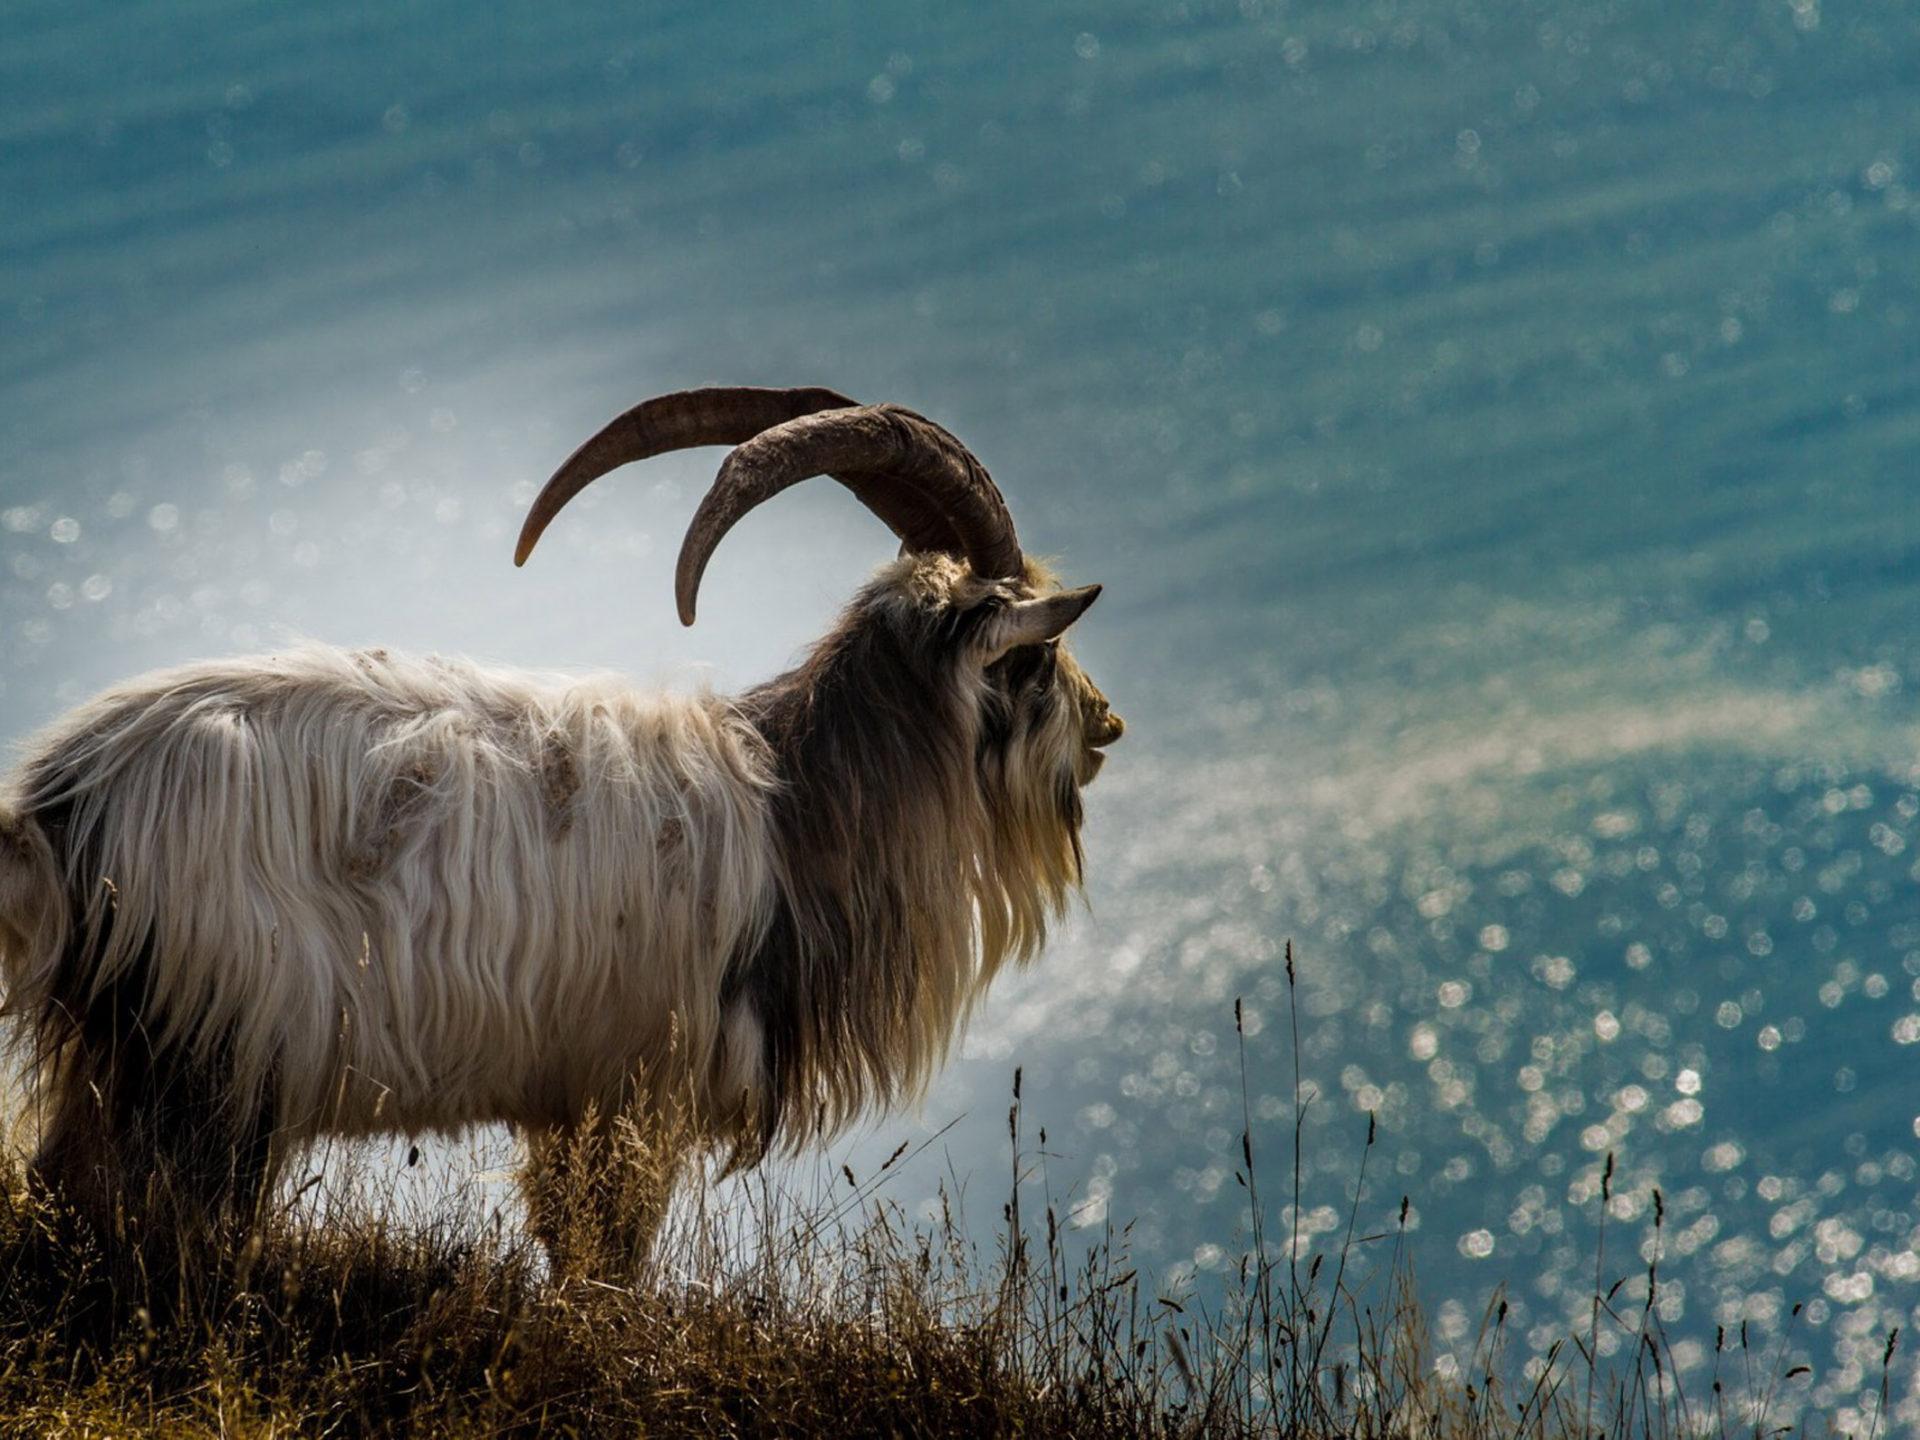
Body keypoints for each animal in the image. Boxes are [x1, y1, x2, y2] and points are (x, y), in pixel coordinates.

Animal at [0, 386, 1122, 1261]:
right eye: (1033, 656)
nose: (1108, 725)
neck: (791, 813)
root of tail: (57, 805)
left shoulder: (583, 1095)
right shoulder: (632, 1087)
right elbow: (604, 1257)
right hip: (210, 1056)